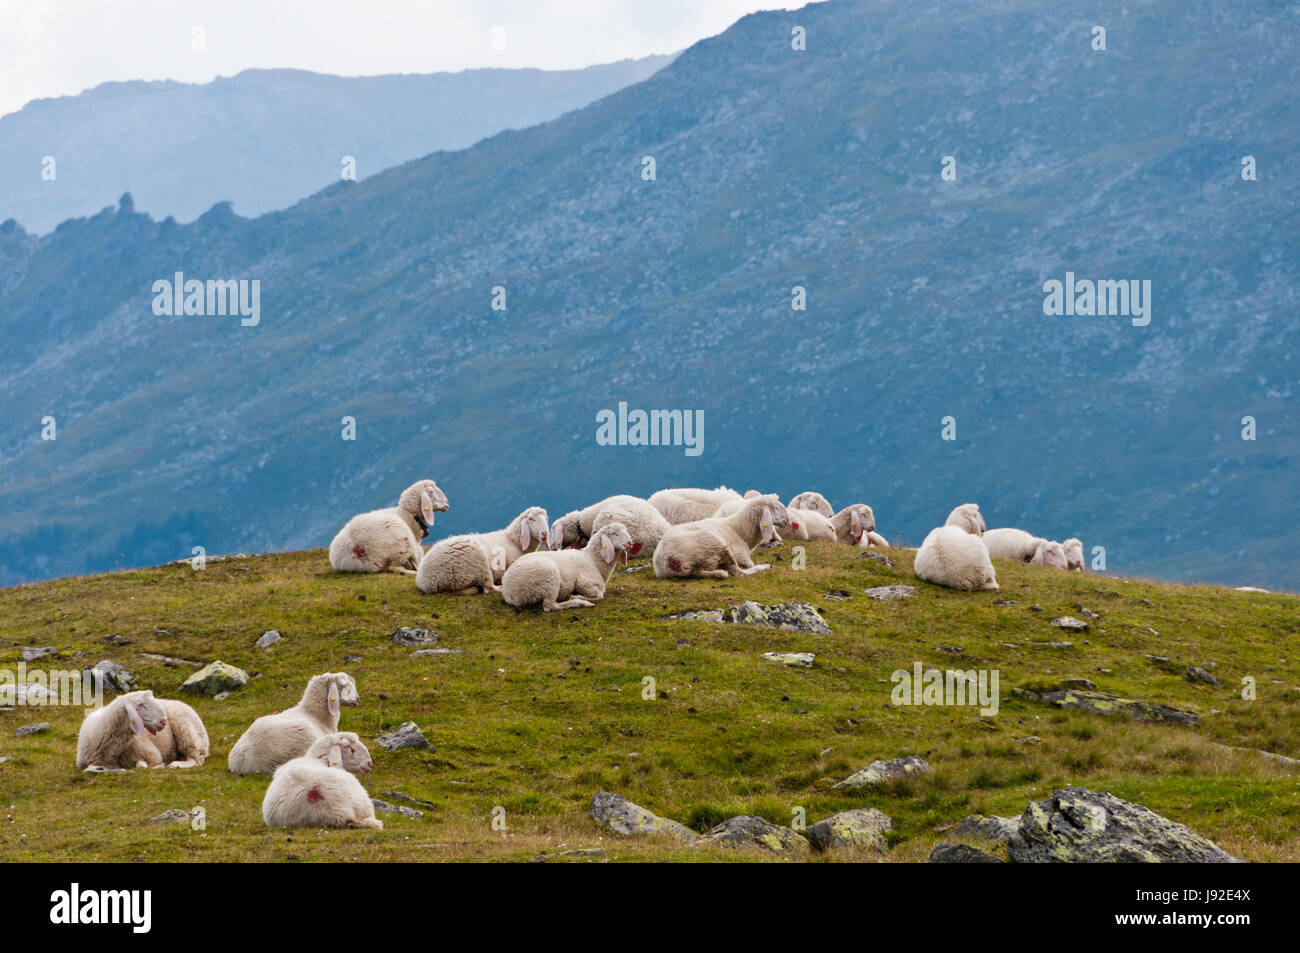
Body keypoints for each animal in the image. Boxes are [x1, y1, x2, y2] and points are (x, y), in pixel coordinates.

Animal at [75, 690, 209, 770]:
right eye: (140, 704)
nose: (163, 722)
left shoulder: (153, 755)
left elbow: (142, 766)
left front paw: (159, 765)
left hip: (187, 733)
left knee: (196, 760)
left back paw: (175, 764)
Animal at [416, 506, 549, 594]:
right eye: (531, 519)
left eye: (546, 519)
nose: (544, 534)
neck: (514, 542)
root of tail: (425, 581)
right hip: (478, 563)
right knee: (488, 587)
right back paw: (500, 587)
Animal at [502, 522, 635, 611]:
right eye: (614, 533)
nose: (630, 543)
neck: (593, 560)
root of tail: (509, 592)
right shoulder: (585, 582)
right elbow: (599, 595)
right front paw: (578, 596)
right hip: (548, 579)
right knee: (549, 606)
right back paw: (578, 602)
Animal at [652, 494, 792, 578]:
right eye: (776, 508)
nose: (787, 521)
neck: (738, 530)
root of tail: (672, 561)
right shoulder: (740, 556)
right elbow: (748, 565)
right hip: (715, 544)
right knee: (738, 572)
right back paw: (764, 567)